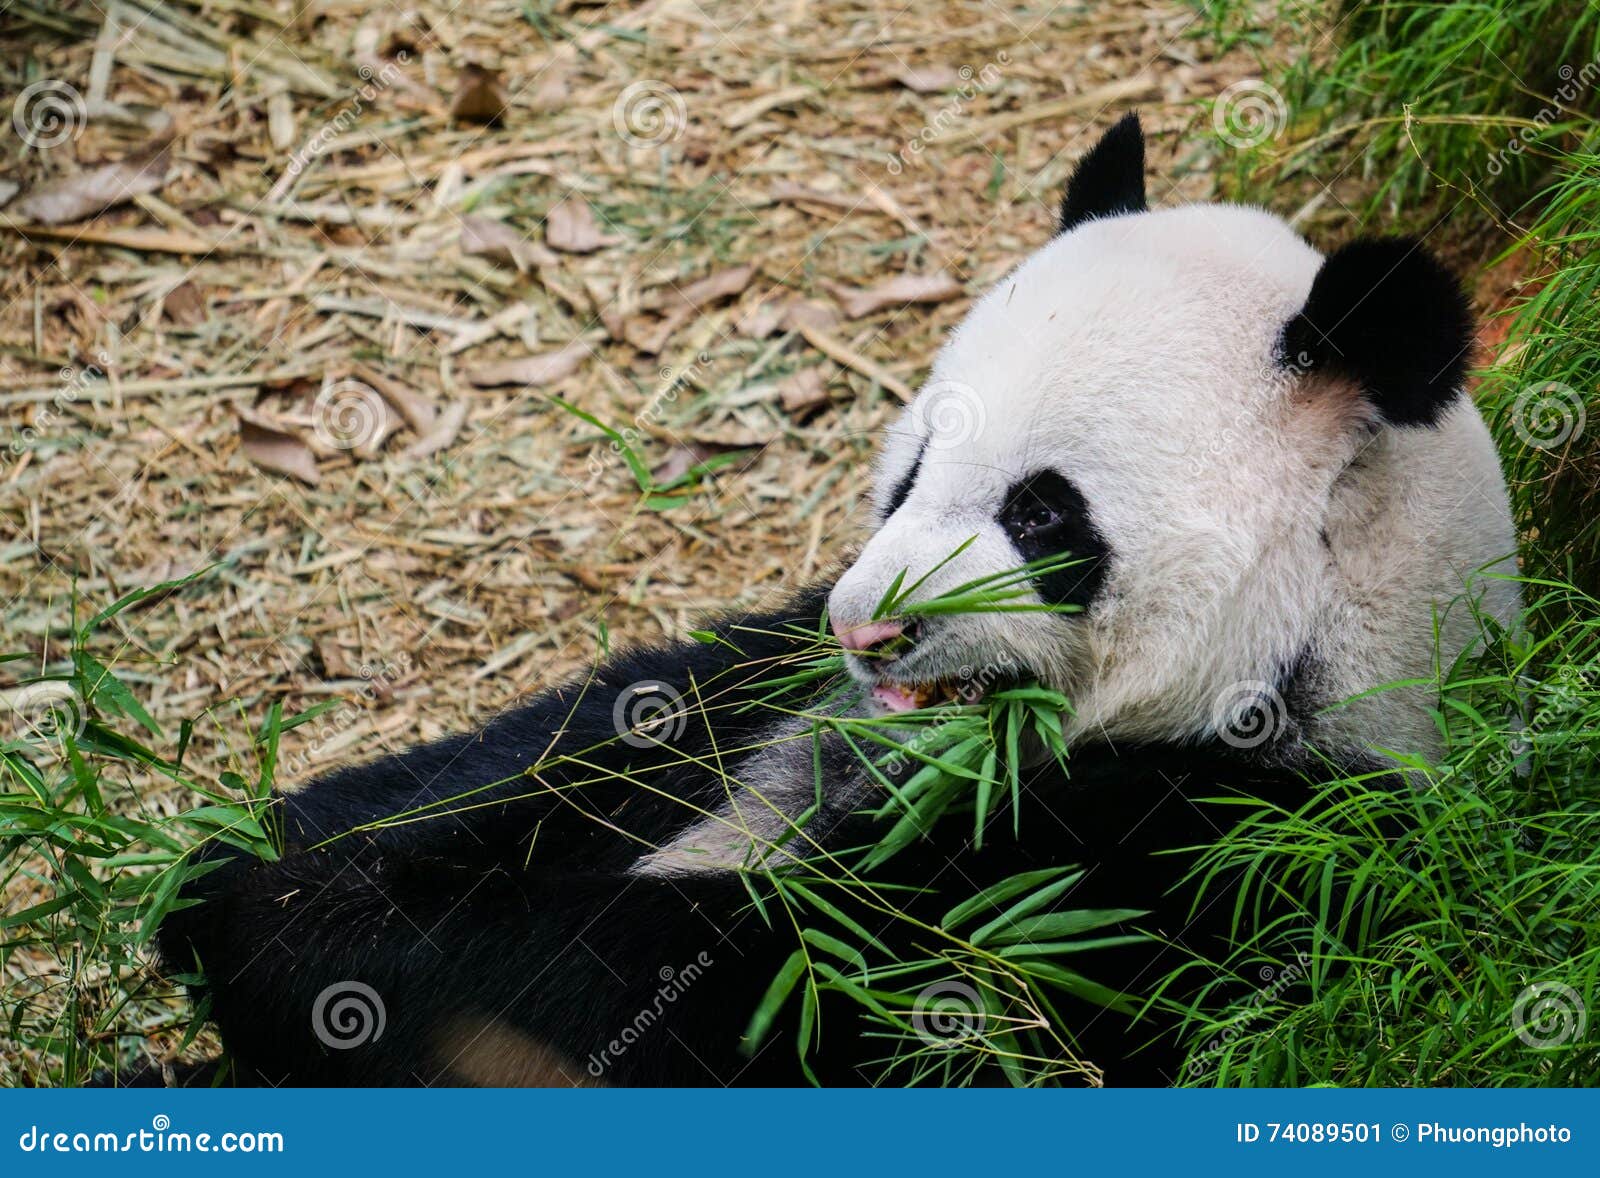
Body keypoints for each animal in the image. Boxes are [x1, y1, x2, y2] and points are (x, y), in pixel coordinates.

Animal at [154, 114, 1519, 1087]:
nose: (866, 628)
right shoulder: (767, 681)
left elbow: (753, 994)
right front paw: (268, 856)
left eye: (1041, 515)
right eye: (912, 464)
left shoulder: (1199, 844)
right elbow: (587, 741)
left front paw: (289, 938)